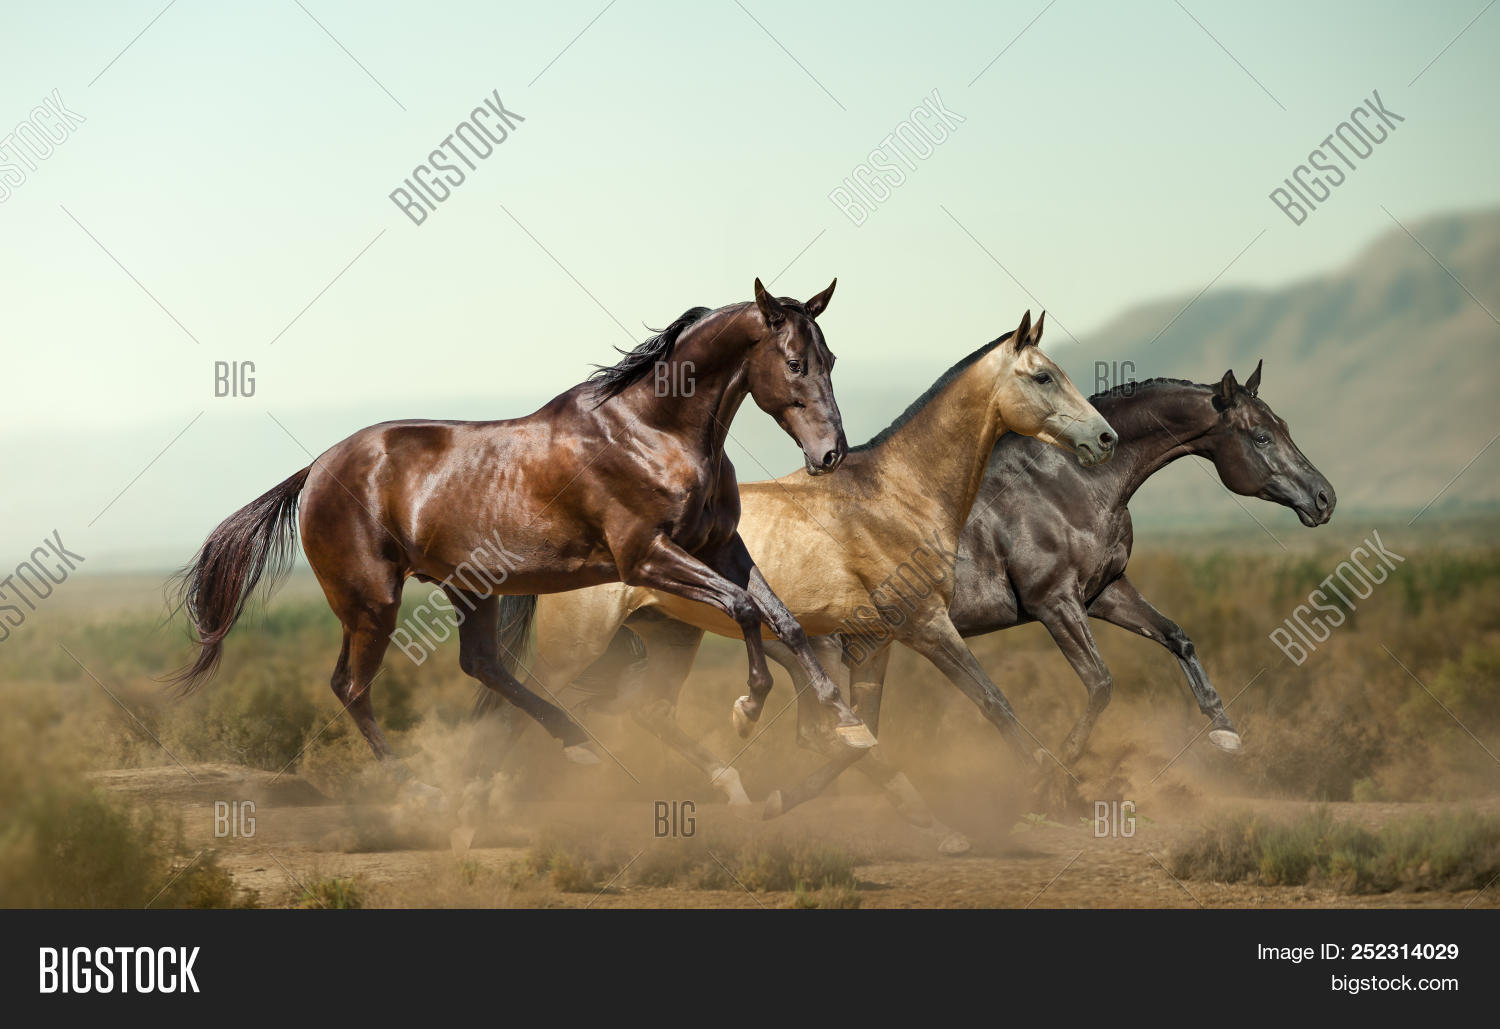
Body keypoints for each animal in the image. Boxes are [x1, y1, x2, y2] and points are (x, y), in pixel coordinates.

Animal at [168, 278, 880, 797]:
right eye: (794, 363)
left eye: (831, 359)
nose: (829, 454)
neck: (654, 431)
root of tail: (314, 469)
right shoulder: (645, 557)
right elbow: (744, 610)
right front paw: (747, 706)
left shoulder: (720, 547)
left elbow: (784, 619)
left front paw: (845, 724)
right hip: (372, 603)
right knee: (352, 687)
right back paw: (415, 787)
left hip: (469, 591)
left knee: (482, 664)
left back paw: (576, 744)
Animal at [479, 309, 1118, 804]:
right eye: (1043, 376)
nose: (1104, 437)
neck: (898, 493)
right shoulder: (926, 625)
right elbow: (994, 703)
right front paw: (1043, 786)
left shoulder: (877, 642)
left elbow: (862, 735)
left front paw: (788, 797)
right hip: (574, 648)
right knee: (516, 710)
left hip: (671, 633)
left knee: (649, 709)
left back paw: (734, 787)